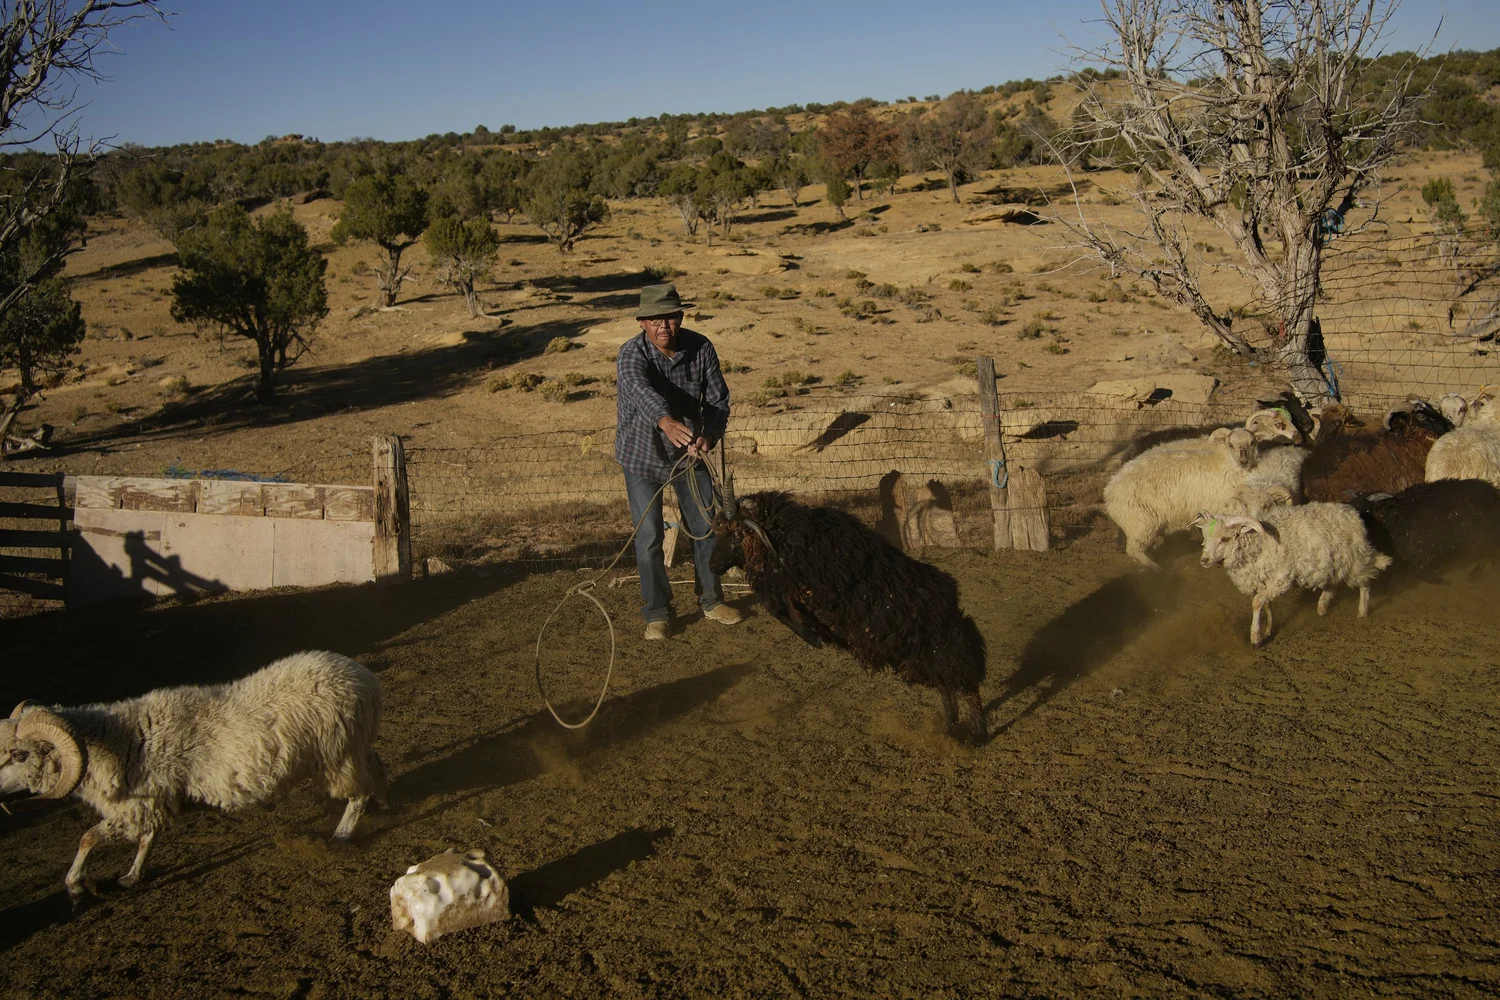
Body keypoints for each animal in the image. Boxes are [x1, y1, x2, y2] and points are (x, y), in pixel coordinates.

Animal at [0, 650, 385, 902]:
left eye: (20, 754)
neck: (117, 741)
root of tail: (366, 679)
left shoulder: (137, 805)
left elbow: (88, 837)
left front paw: (76, 884)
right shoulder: (154, 799)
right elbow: (148, 837)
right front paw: (132, 875)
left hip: (337, 754)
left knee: (358, 793)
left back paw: (341, 836)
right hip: (353, 746)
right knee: (375, 765)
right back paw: (381, 804)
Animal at [709, 489, 988, 741]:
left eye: (737, 534)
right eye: (718, 533)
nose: (712, 566)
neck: (782, 536)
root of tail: (952, 602)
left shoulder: (803, 585)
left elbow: (785, 609)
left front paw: (812, 635)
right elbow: (780, 611)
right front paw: (813, 632)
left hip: (946, 651)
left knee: (968, 688)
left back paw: (978, 735)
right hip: (924, 658)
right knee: (947, 689)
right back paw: (951, 727)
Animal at [1103, 426, 1259, 568]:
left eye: (1252, 442)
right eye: (1230, 444)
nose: (1244, 460)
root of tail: (1109, 491)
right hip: (1141, 524)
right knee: (1134, 551)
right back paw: (1156, 569)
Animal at [1192, 503, 1393, 647]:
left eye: (1225, 539)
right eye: (1205, 538)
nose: (1204, 560)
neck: (1260, 544)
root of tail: (1352, 513)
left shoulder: (1280, 578)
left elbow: (1257, 602)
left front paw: (1255, 637)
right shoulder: (1263, 581)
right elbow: (1266, 604)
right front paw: (1268, 629)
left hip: (1354, 561)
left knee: (1365, 582)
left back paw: (1362, 611)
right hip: (1332, 563)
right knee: (1333, 583)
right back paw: (1322, 606)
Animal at [1352, 479, 1500, 583]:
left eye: (1368, 511)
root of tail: (1493, 493)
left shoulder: (1419, 549)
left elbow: (1419, 570)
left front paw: (1438, 579)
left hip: (1481, 536)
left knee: (1488, 555)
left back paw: (1476, 575)